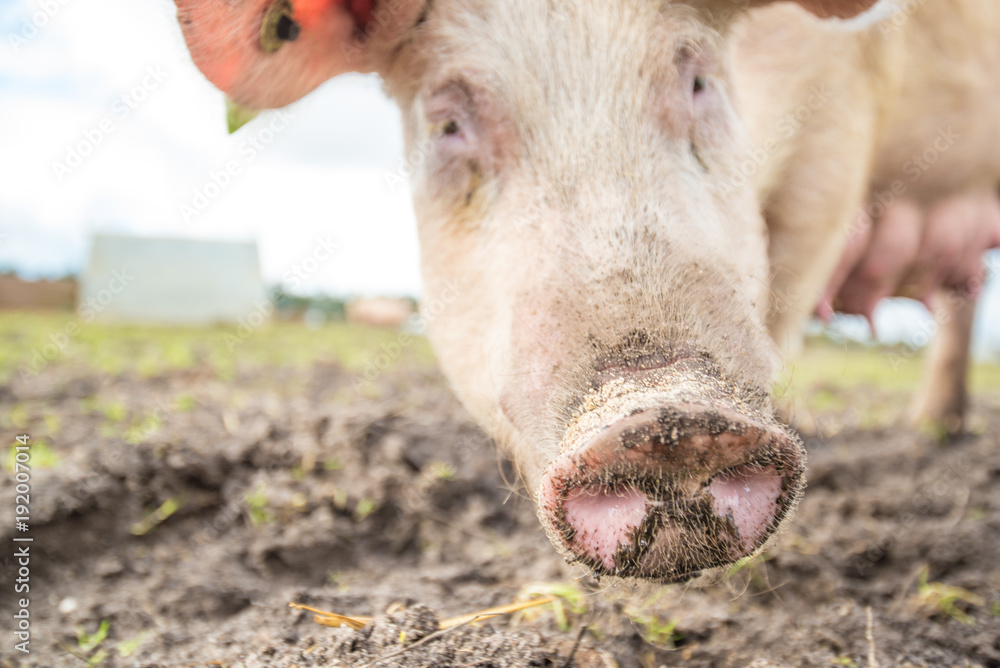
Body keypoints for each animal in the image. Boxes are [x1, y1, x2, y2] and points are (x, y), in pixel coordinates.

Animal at [172, 0, 1000, 582]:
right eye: (447, 124)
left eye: (698, 80)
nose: (663, 420)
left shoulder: (834, 149)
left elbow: (783, 301)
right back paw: (935, 428)